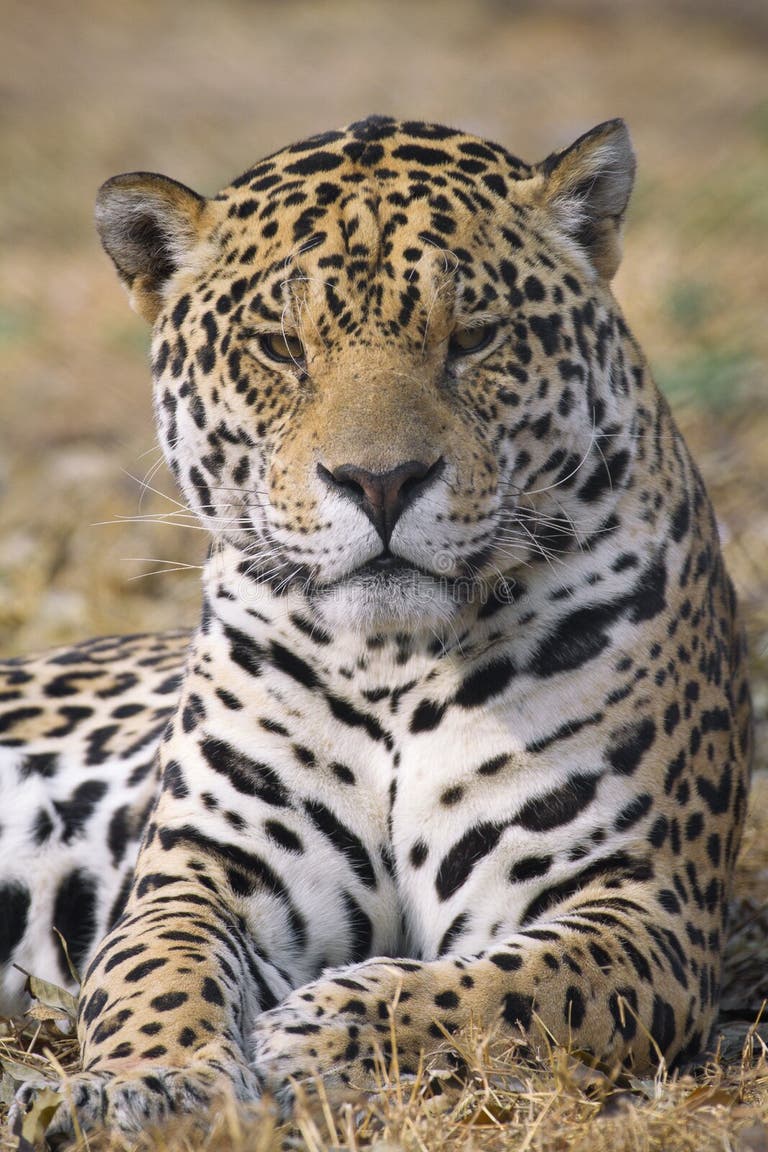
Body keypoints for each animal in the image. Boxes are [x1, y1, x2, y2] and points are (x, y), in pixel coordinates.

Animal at [2, 115, 752, 1144]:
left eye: (473, 339)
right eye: (282, 347)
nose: (382, 481)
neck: (391, 662)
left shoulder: (638, 901)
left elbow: (498, 994)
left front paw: (312, 1033)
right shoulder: (208, 867)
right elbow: (154, 969)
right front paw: (144, 1085)